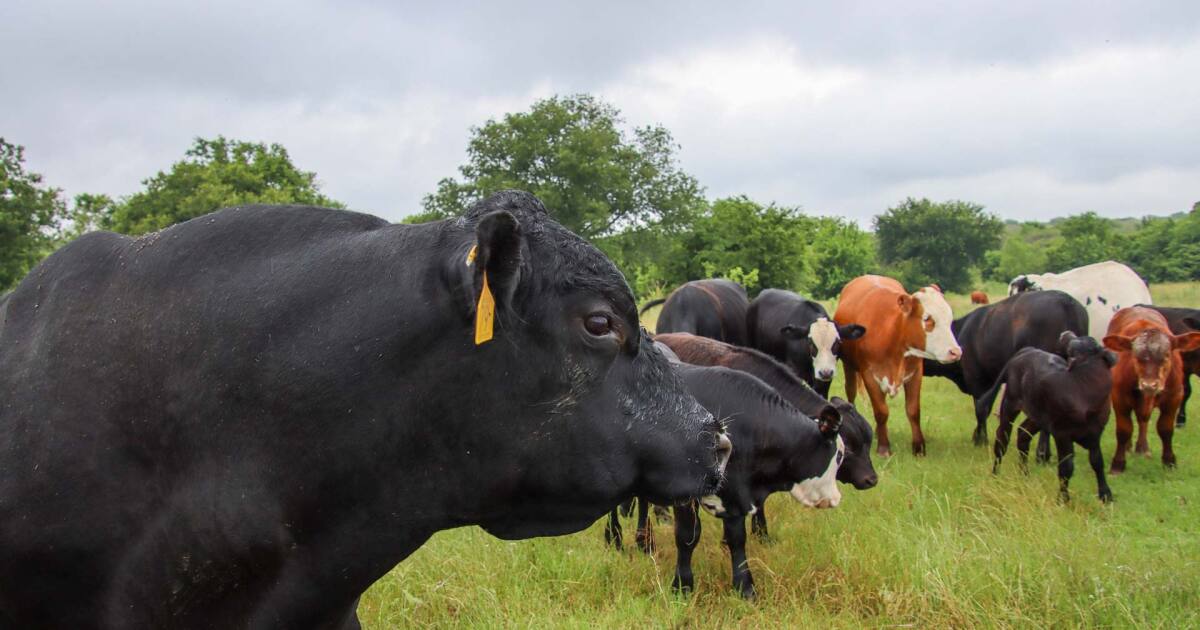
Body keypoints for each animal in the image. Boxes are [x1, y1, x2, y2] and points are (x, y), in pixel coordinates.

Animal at [834, 275, 962, 456]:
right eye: (928, 319)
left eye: (949, 319)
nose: (955, 352)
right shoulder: (869, 376)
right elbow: (881, 411)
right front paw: (883, 447)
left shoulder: (915, 373)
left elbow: (913, 410)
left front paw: (918, 448)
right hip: (849, 367)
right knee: (851, 393)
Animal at [988, 332, 1117, 502]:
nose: (1065, 334)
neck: (1084, 391)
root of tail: (1028, 350)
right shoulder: (1062, 433)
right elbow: (1066, 466)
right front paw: (1063, 498)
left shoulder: (1096, 433)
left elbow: (1097, 462)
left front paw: (1105, 494)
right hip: (1010, 403)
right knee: (1002, 439)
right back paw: (996, 474)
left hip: (1037, 416)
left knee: (1023, 434)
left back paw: (1024, 474)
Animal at [1103, 306, 1200, 473]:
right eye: (1136, 357)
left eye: (1167, 355)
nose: (1149, 385)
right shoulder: (1119, 397)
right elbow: (1123, 430)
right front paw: (1118, 464)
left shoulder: (1174, 397)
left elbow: (1165, 429)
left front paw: (1169, 461)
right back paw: (1130, 447)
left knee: (1143, 420)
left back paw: (1143, 448)